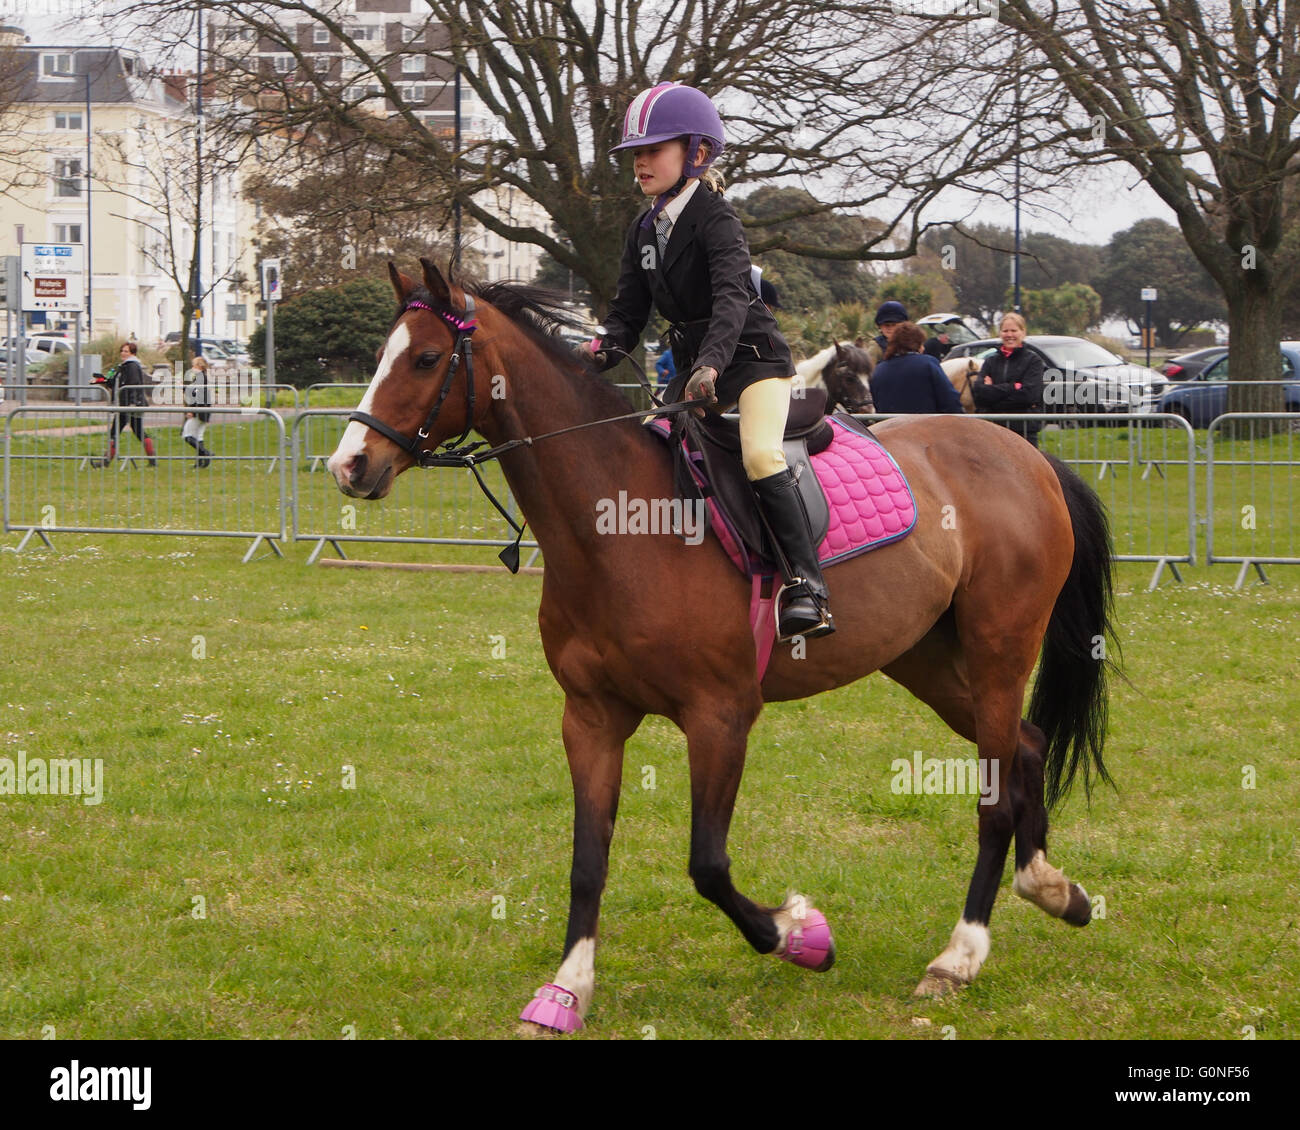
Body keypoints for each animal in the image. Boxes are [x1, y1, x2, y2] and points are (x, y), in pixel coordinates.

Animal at [328, 261, 1117, 1033]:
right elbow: (588, 860)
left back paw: (958, 957)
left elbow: (707, 865)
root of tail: (1024, 453)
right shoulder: (591, 718)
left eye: (427, 358)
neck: (616, 524)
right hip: (925, 659)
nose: (349, 465)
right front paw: (565, 991)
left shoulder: (721, 717)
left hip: (997, 652)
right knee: (1028, 744)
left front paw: (801, 934)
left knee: (994, 794)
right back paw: (1053, 889)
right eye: (384, 356)